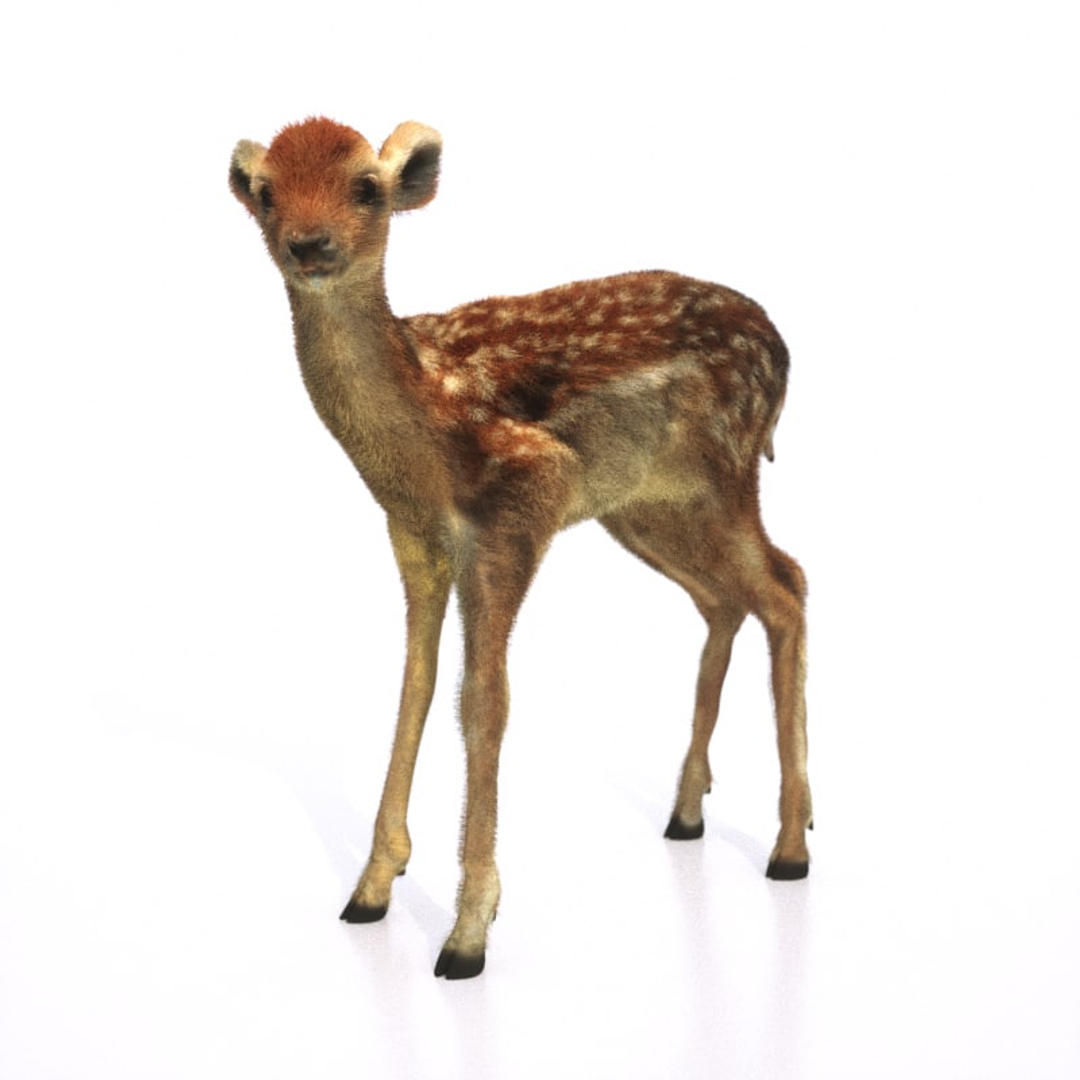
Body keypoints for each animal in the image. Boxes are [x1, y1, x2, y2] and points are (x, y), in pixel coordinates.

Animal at [229, 116, 813, 979]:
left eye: (366, 186)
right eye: (267, 194)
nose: (309, 243)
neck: (426, 419)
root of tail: (783, 351)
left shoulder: (522, 503)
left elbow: (484, 701)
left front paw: (468, 930)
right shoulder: (415, 533)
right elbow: (414, 686)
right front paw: (371, 889)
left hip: (722, 478)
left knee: (786, 585)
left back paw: (789, 847)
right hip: (645, 508)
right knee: (732, 598)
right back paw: (688, 814)